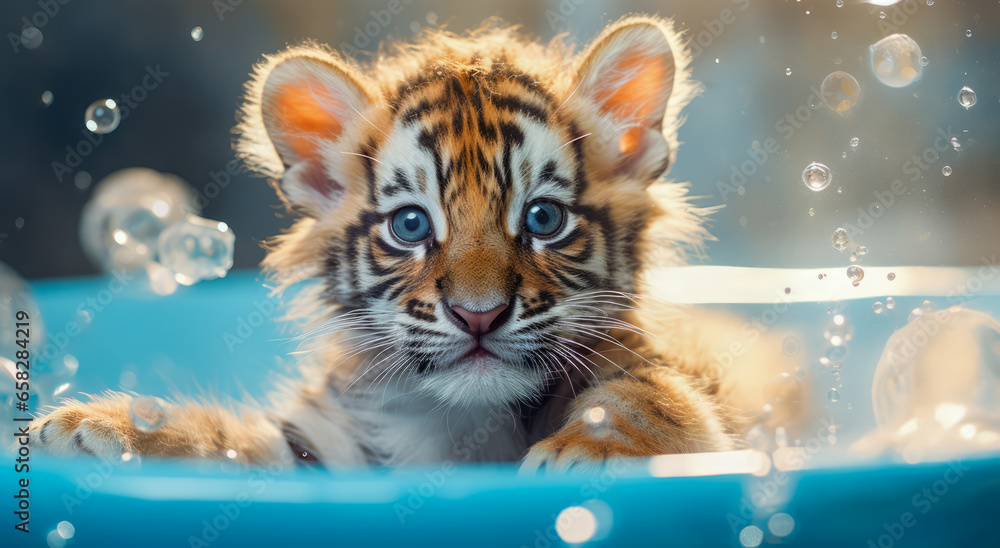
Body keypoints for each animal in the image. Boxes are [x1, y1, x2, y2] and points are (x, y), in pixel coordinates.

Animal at [28, 15, 799, 472]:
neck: (464, 420)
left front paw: (591, 448)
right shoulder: (325, 448)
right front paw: (108, 431)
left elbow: (654, 394)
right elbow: (238, 446)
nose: (479, 315)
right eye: (411, 226)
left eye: (544, 219)